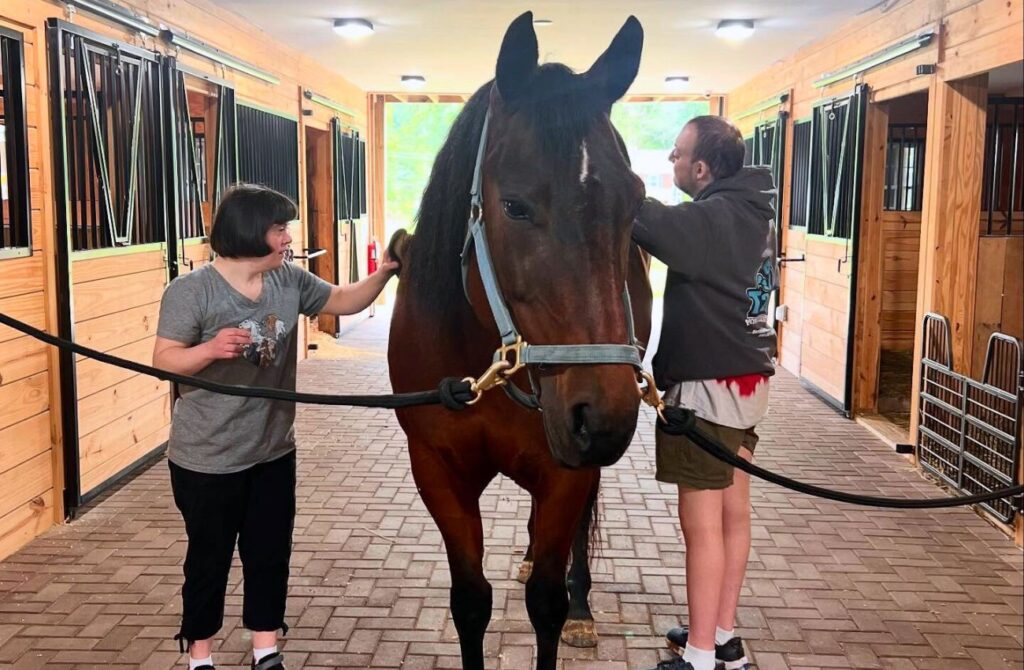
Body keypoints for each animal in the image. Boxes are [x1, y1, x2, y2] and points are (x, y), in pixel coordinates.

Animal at [388, 11, 651, 670]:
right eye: (513, 205)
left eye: (634, 202)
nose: (603, 414)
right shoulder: (438, 473)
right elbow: (470, 602)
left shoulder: (565, 472)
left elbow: (546, 605)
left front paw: (569, 606)